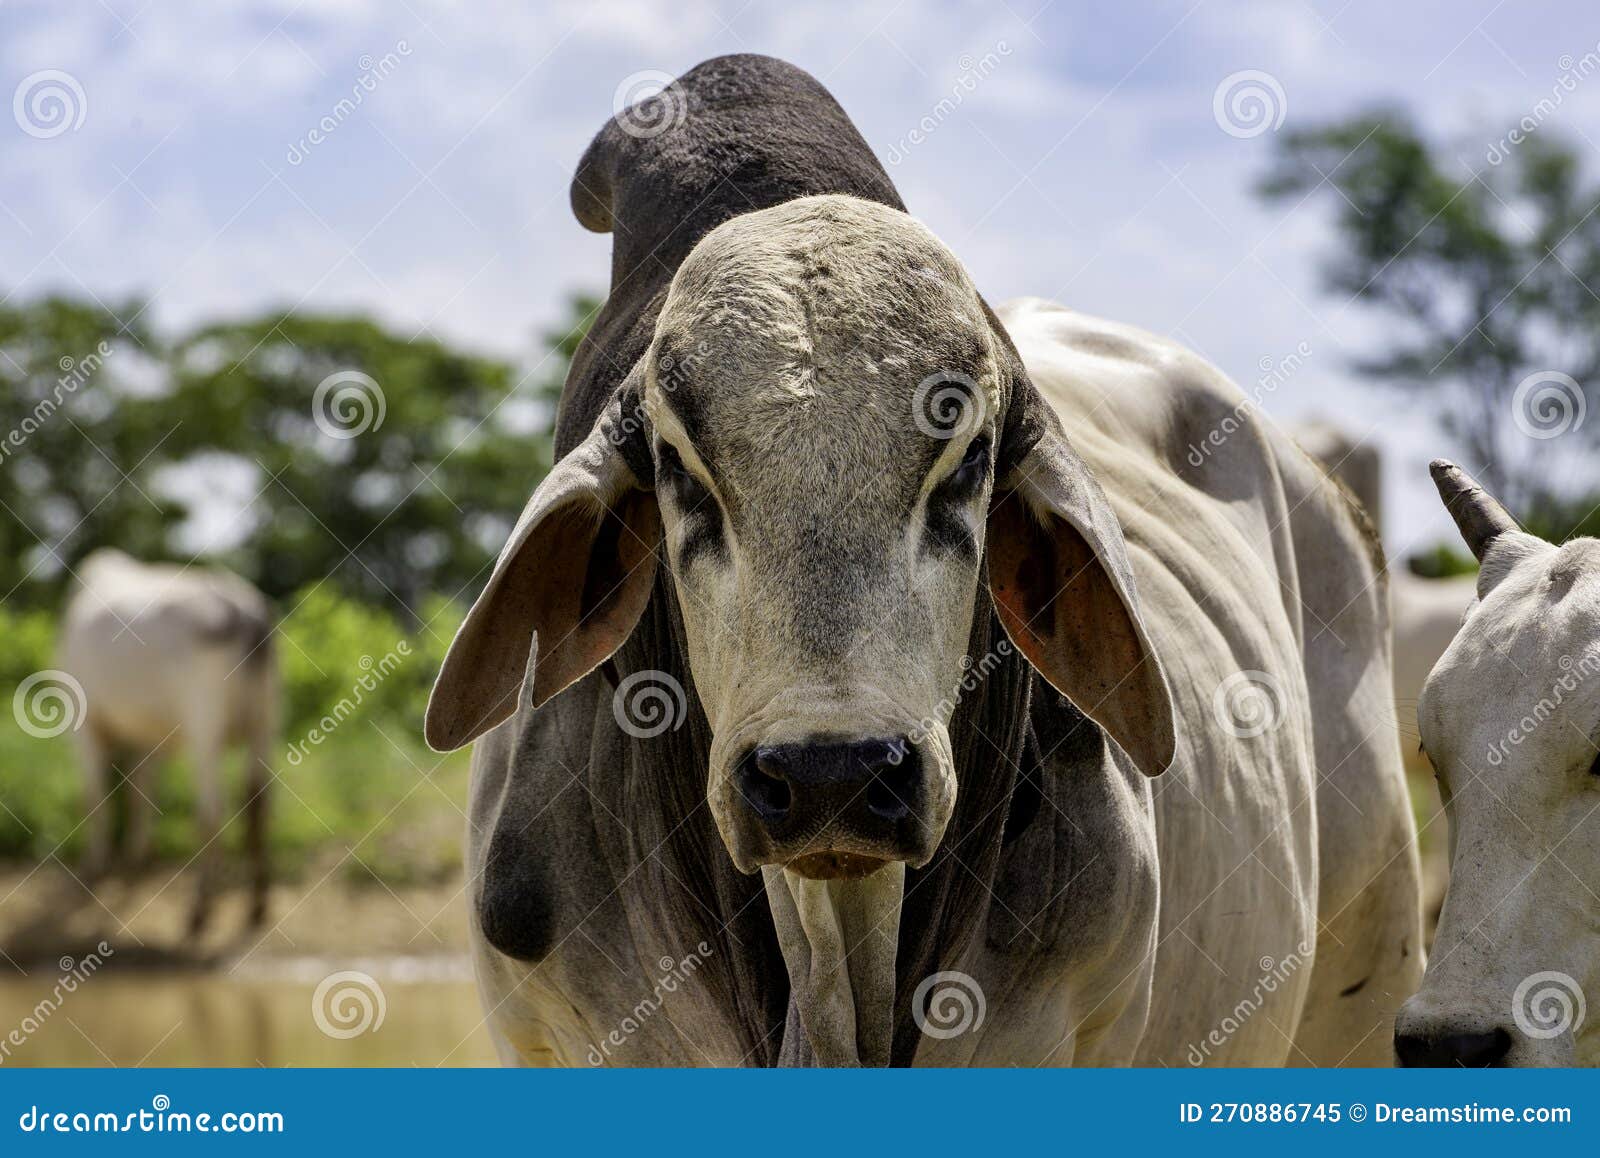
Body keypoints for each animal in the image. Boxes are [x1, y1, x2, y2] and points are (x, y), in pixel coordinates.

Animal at [58, 548, 278, 932]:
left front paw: (95, 868)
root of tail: (245, 613)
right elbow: (140, 793)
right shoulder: (147, 736)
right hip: (264, 724)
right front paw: (137, 858)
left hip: (205, 727)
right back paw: (257, 903)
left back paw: (200, 906)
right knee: (257, 803)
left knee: (211, 811)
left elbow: (96, 800)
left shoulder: (85, 727)